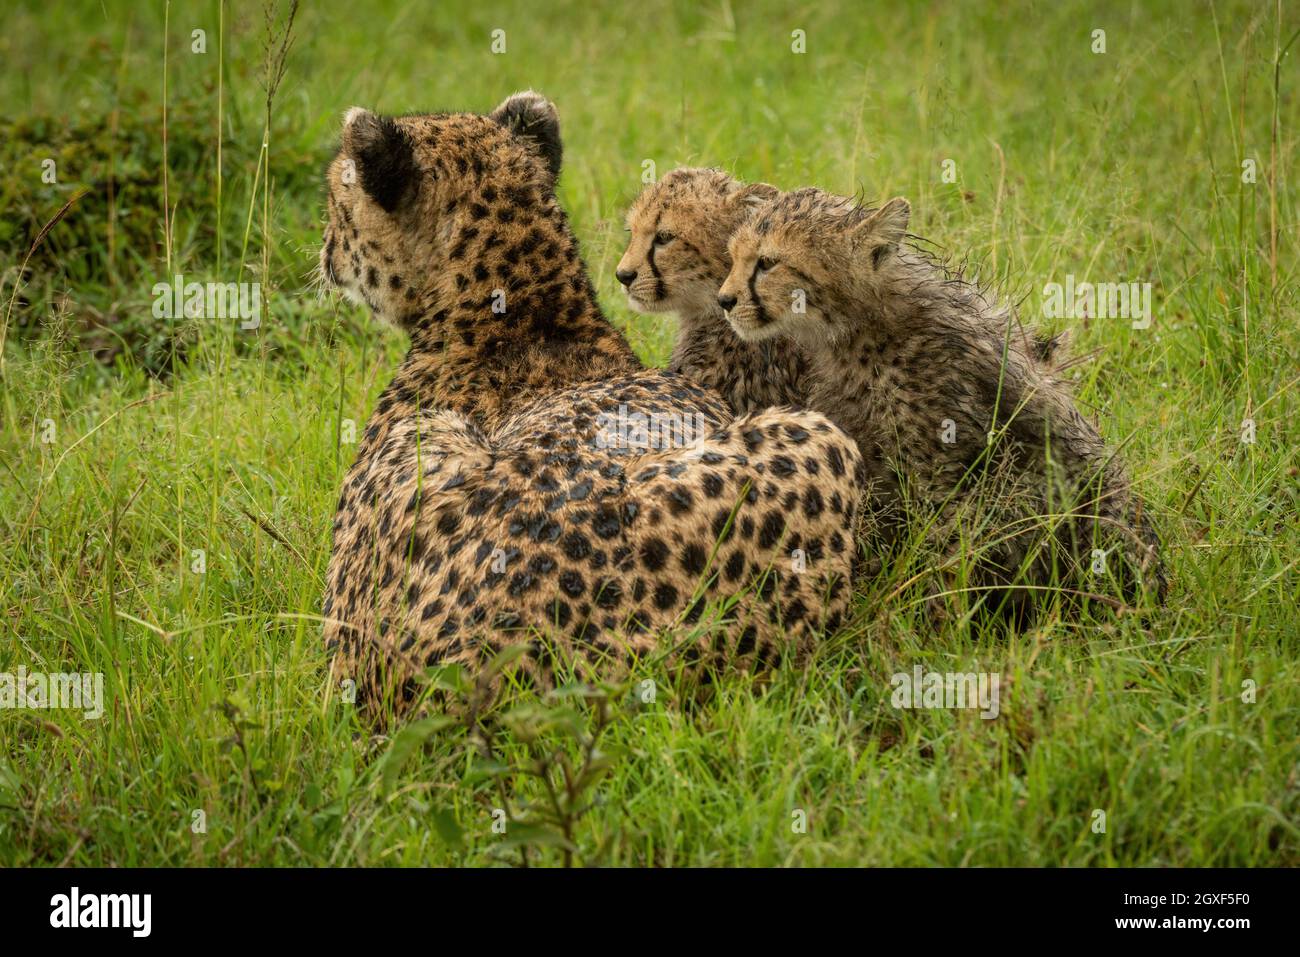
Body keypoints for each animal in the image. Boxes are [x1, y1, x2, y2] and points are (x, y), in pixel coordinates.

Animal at [716, 187, 1167, 618]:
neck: (862, 326)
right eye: (734, 257)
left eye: (768, 262)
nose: (725, 300)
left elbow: (942, 551)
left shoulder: (945, 472)